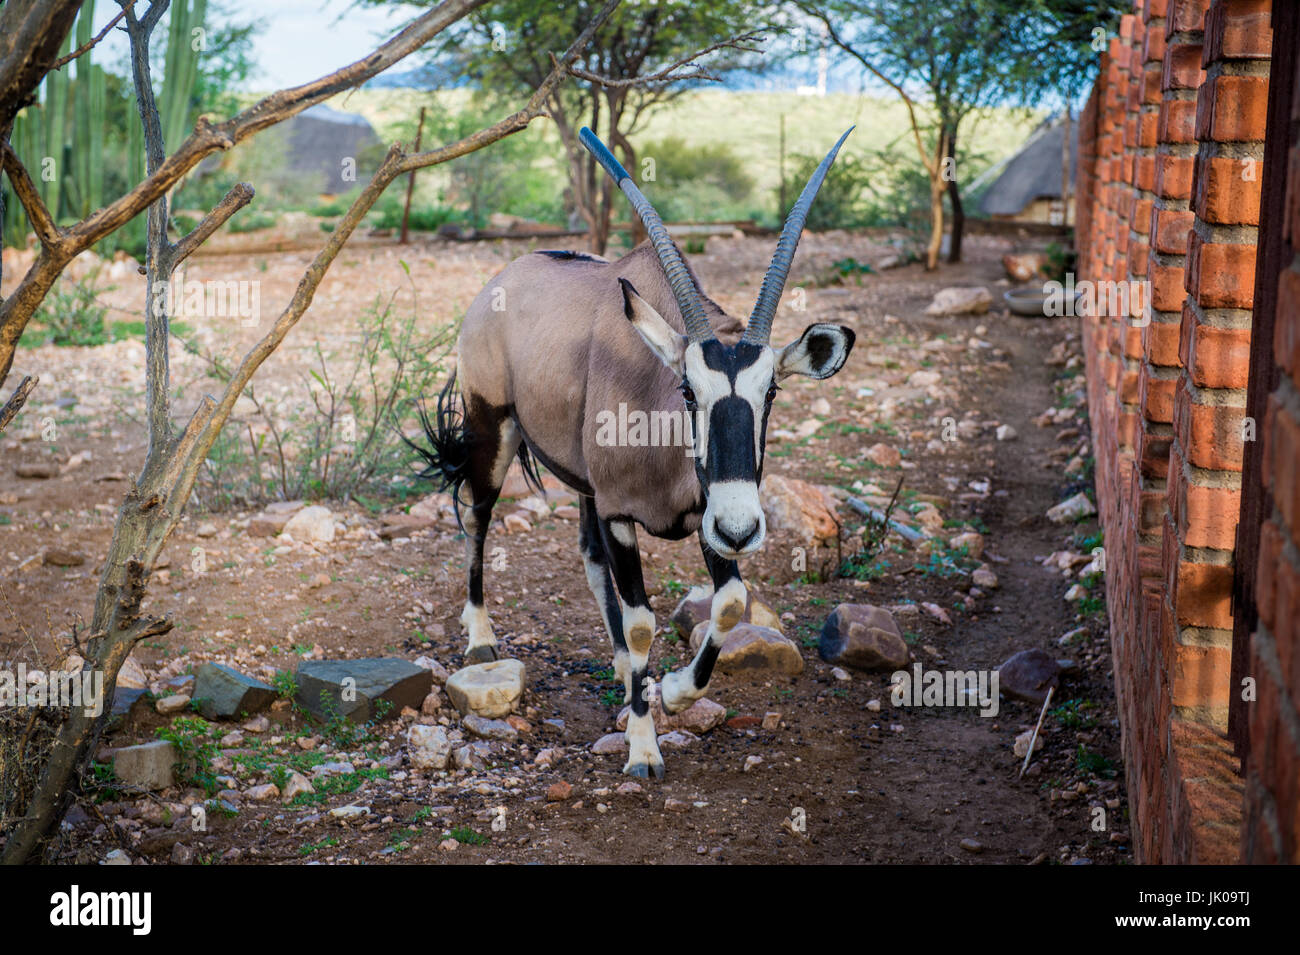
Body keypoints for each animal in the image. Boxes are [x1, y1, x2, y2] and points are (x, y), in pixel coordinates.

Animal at [412, 127, 855, 778]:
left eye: (770, 391)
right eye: (688, 389)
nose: (744, 528)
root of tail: (505, 276)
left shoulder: (703, 518)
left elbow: (729, 603)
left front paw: (671, 689)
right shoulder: (624, 513)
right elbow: (644, 621)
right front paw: (644, 749)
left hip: (586, 486)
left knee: (590, 558)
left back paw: (626, 677)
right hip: (493, 430)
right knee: (479, 515)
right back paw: (481, 637)